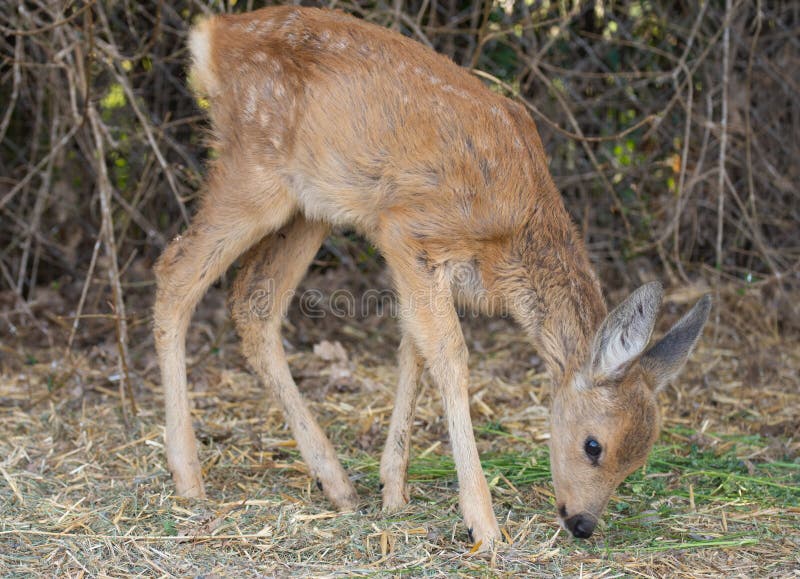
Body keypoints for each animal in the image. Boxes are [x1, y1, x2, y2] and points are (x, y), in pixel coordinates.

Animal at [153, 6, 711, 549]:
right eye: (594, 445)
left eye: (639, 459)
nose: (582, 524)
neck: (514, 235)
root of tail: (213, 37)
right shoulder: (408, 231)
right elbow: (449, 356)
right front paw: (483, 525)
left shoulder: (422, 268)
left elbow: (413, 352)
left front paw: (393, 492)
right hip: (254, 168)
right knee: (175, 271)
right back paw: (188, 479)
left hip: (310, 206)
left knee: (253, 303)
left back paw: (336, 484)